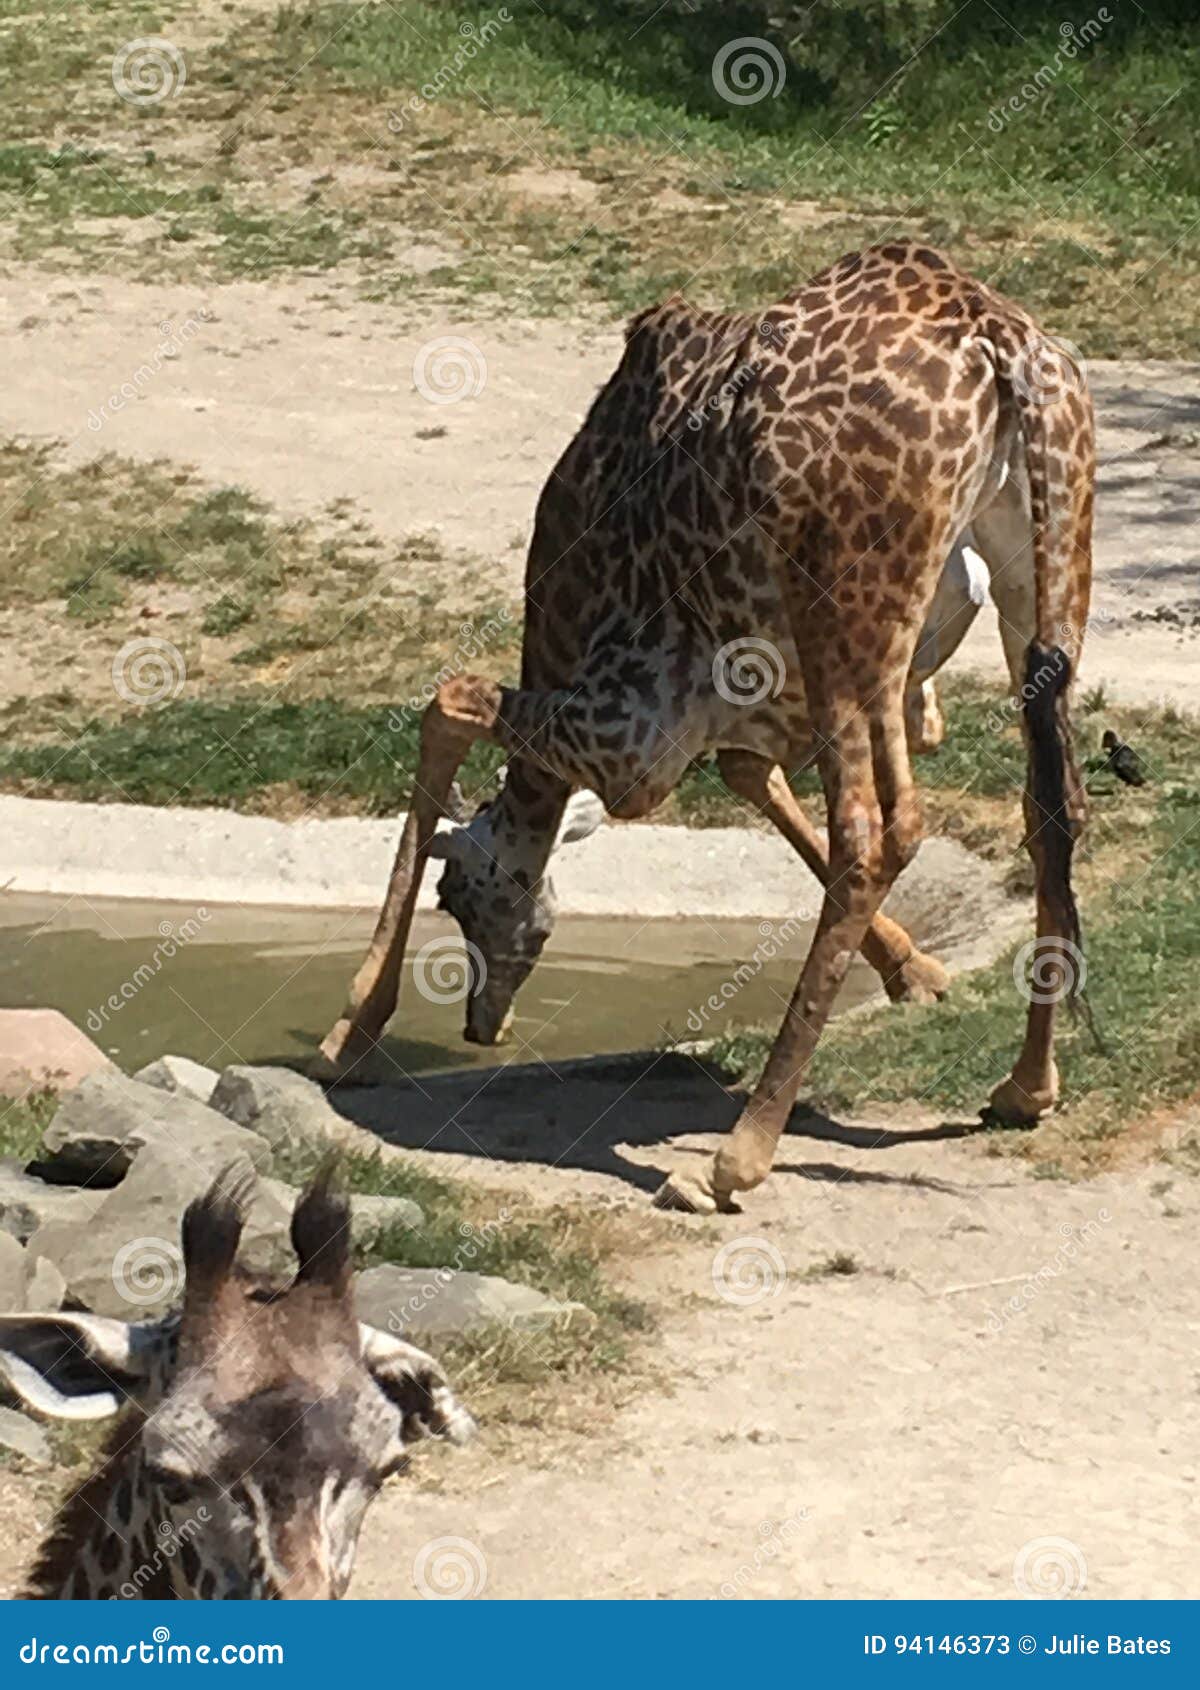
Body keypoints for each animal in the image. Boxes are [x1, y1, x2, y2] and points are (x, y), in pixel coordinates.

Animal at [320, 241, 1093, 1214]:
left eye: (455, 898)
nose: (480, 1024)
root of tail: (1001, 348)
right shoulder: (769, 698)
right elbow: (747, 773)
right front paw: (915, 971)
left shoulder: (631, 733)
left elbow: (448, 702)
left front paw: (349, 1031)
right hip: (1043, 576)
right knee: (1053, 807)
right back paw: (1027, 1086)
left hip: (848, 613)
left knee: (878, 830)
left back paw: (732, 1159)